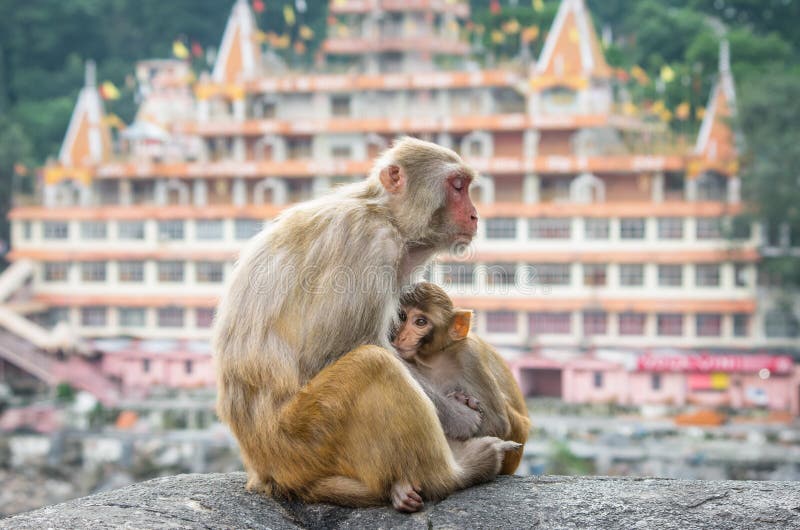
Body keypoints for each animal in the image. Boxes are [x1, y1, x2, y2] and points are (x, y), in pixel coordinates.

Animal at [392, 282, 531, 475]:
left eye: (420, 322)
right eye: (402, 316)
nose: (402, 336)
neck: (434, 358)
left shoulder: (469, 356)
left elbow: (498, 424)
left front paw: (463, 403)